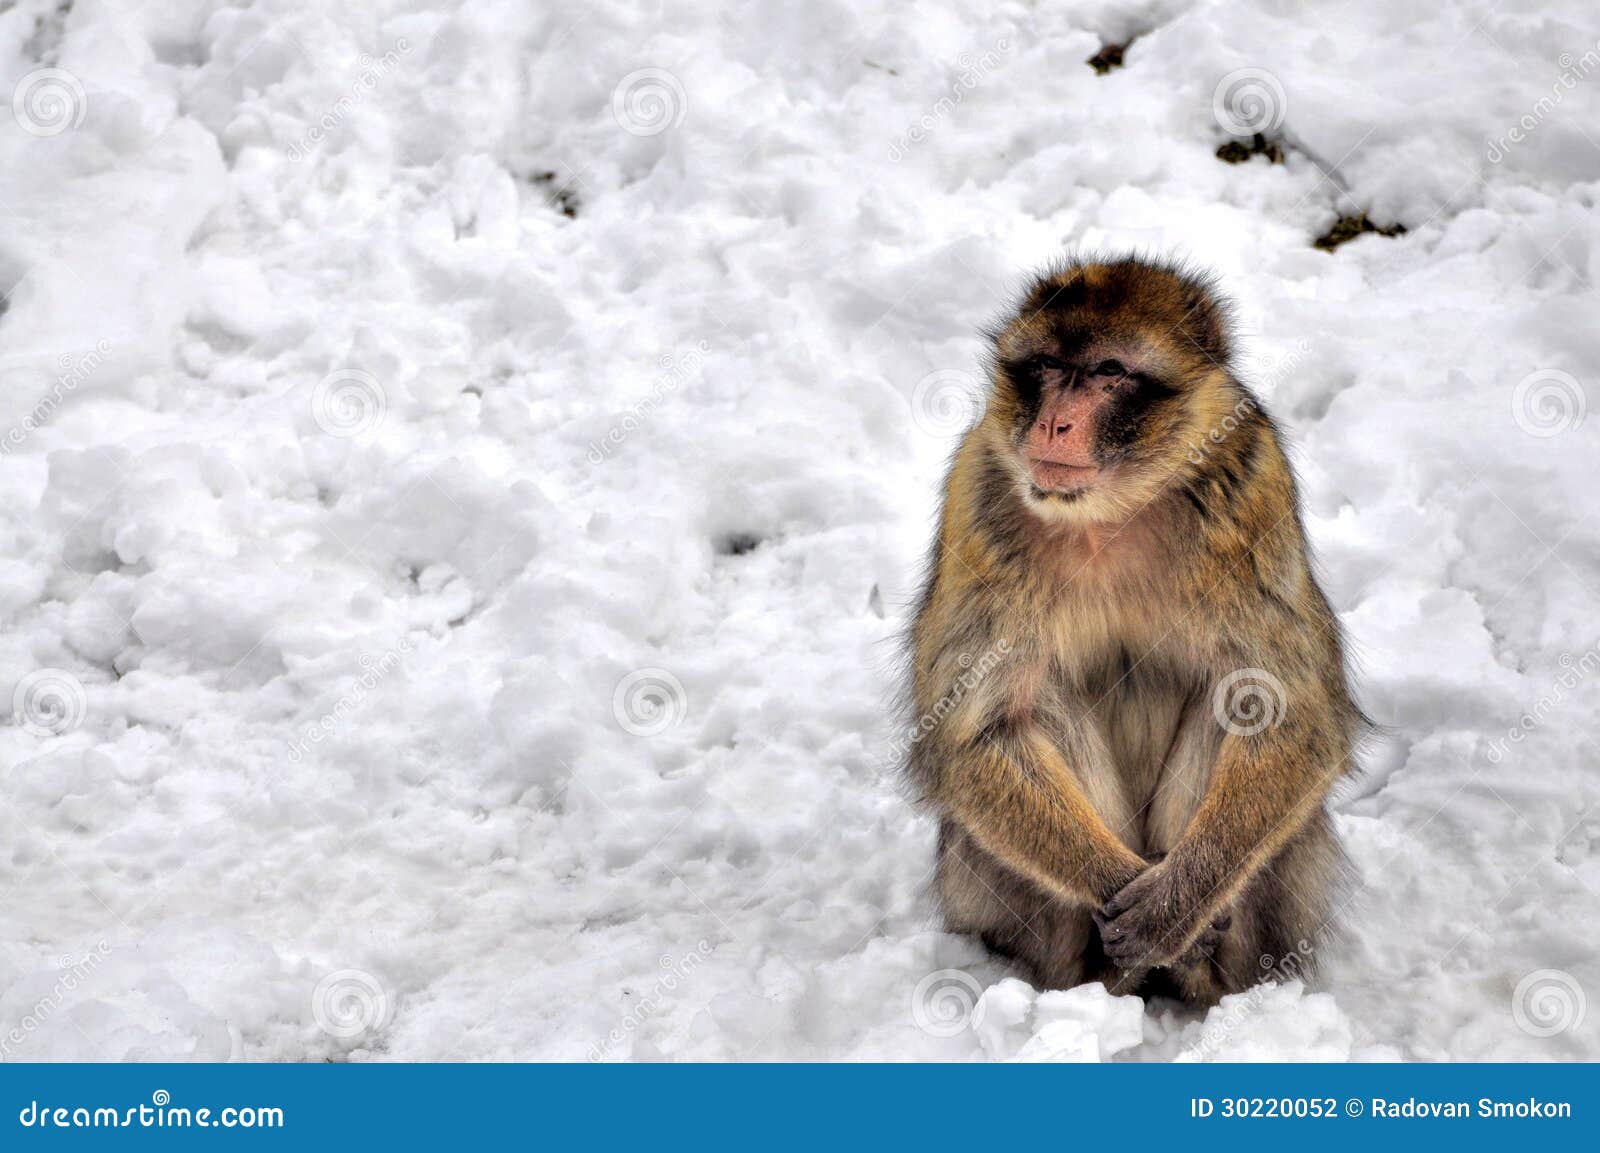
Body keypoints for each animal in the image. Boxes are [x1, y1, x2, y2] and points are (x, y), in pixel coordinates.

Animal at [904, 256, 1360, 1006]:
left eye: (1109, 372)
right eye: (1047, 367)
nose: (1054, 423)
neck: (1112, 510)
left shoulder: (1250, 482)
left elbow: (1287, 711)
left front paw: (1174, 906)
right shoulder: (978, 494)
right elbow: (975, 732)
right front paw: (1119, 887)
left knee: (1234, 700)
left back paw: (1200, 962)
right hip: (990, 894)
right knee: (1038, 706)